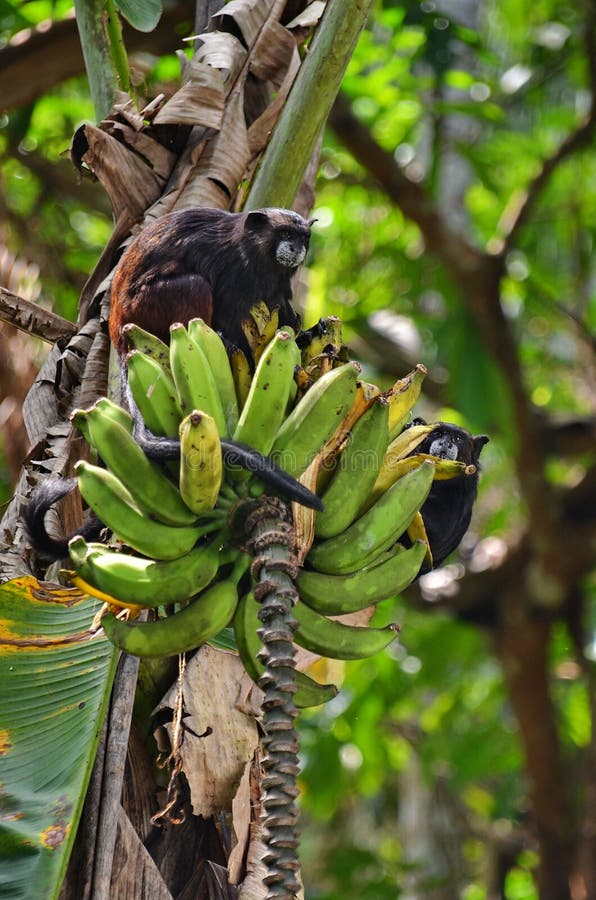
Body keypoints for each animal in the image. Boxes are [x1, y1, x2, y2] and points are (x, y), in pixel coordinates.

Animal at [406, 420, 489, 571]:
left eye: (457, 439)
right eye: (438, 434)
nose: (445, 443)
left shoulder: (459, 496)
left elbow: (437, 533)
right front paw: (414, 425)